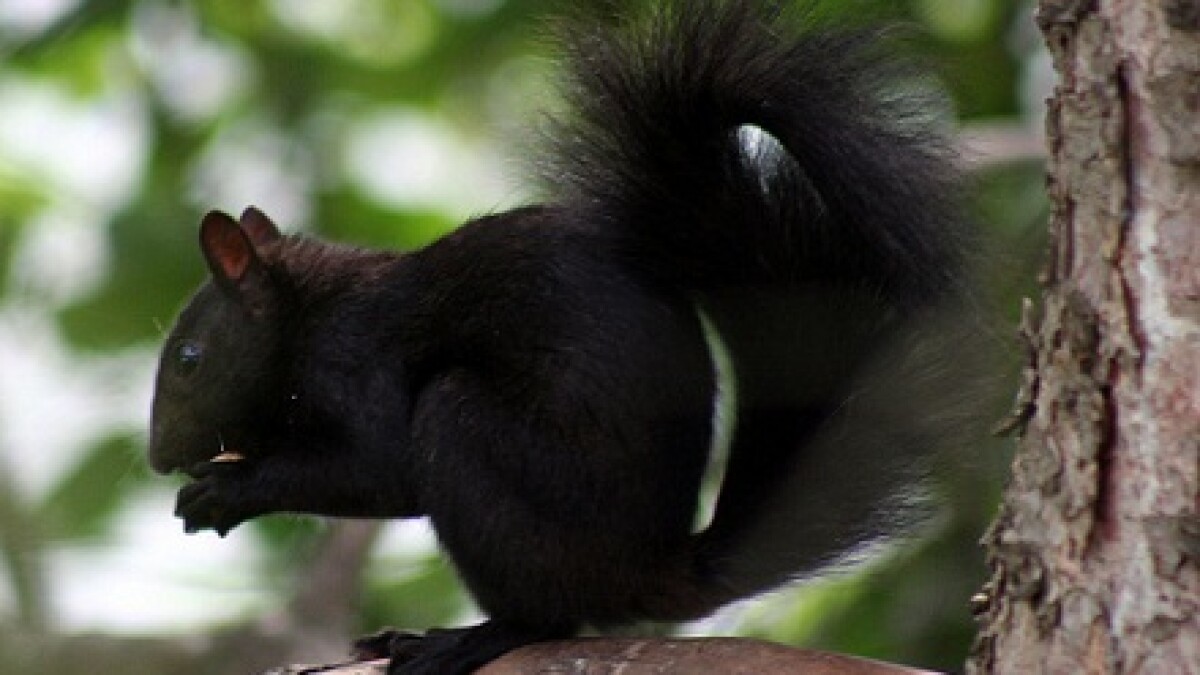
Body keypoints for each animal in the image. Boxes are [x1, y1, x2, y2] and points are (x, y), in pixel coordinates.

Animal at [148, 1, 973, 673]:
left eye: (188, 358)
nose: (159, 456)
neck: (306, 312)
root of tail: (648, 568)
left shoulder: (355, 359)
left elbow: (377, 467)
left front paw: (229, 489)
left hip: (488, 450)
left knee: (551, 613)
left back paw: (471, 637)